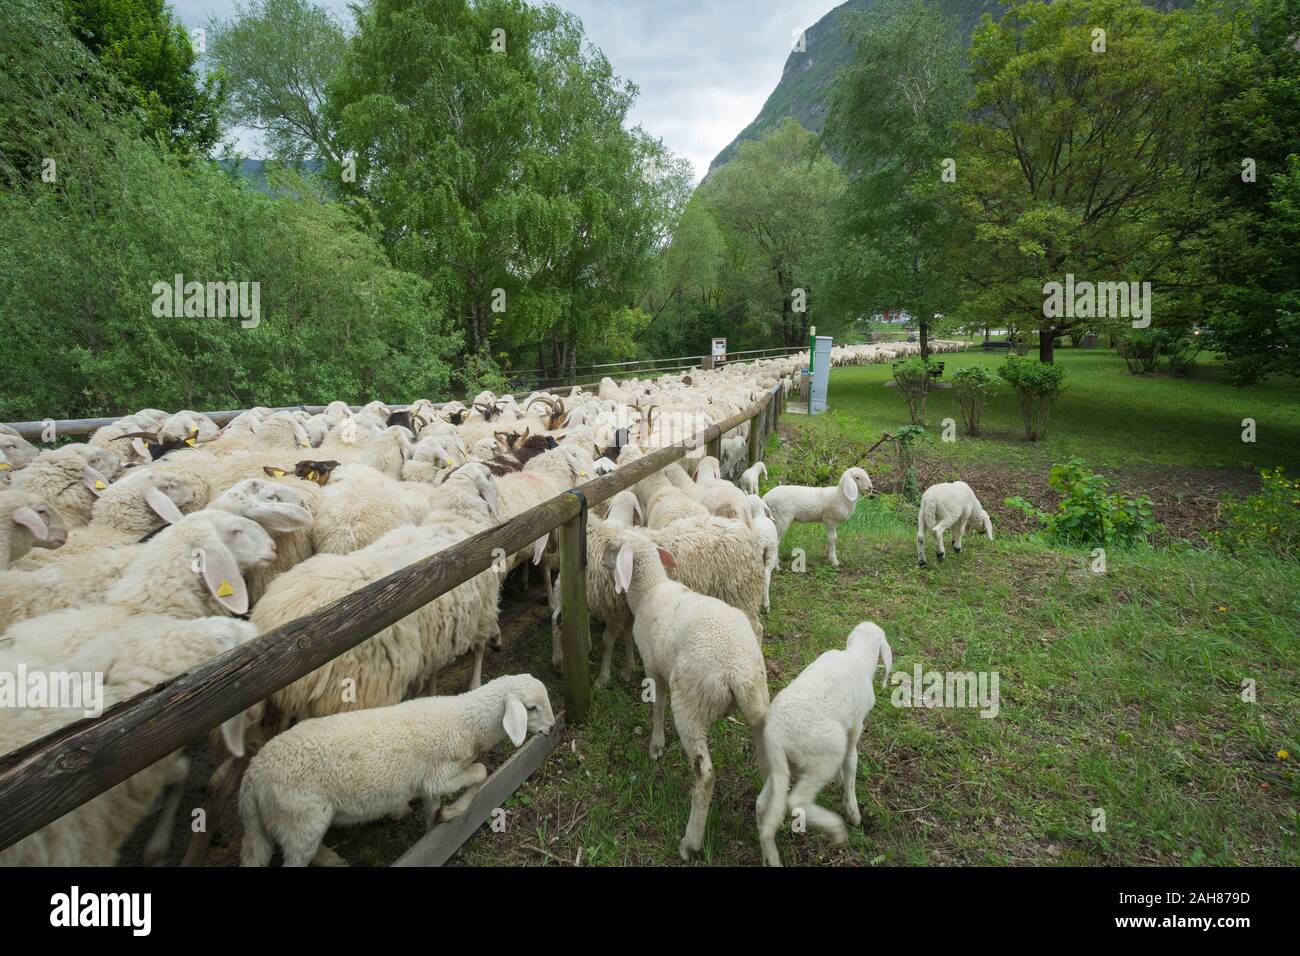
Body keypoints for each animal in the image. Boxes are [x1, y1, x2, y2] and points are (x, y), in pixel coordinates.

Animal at [238, 674, 554, 866]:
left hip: (293, 822)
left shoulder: (427, 784)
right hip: (300, 817)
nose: (552, 729)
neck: (466, 722)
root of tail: (252, 776)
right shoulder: (439, 776)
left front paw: (435, 827)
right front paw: (453, 811)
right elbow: (481, 772)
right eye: (531, 708)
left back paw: (333, 859)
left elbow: (432, 807)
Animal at [603, 529, 769, 860]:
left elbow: (657, 706)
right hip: (759, 700)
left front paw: (656, 745)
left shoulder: (654, 667)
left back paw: (690, 842)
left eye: (613, 547)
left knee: (704, 775)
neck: (650, 590)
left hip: (691, 704)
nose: (600, 558)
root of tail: (737, 672)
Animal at [756, 621, 893, 867]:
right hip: (825, 752)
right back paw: (836, 829)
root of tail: (777, 735)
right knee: (796, 801)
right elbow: (851, 764)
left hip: (779, 766)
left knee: (763, 806)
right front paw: (854, 813)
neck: (856, 657)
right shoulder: (854, 729)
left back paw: (769, 856)